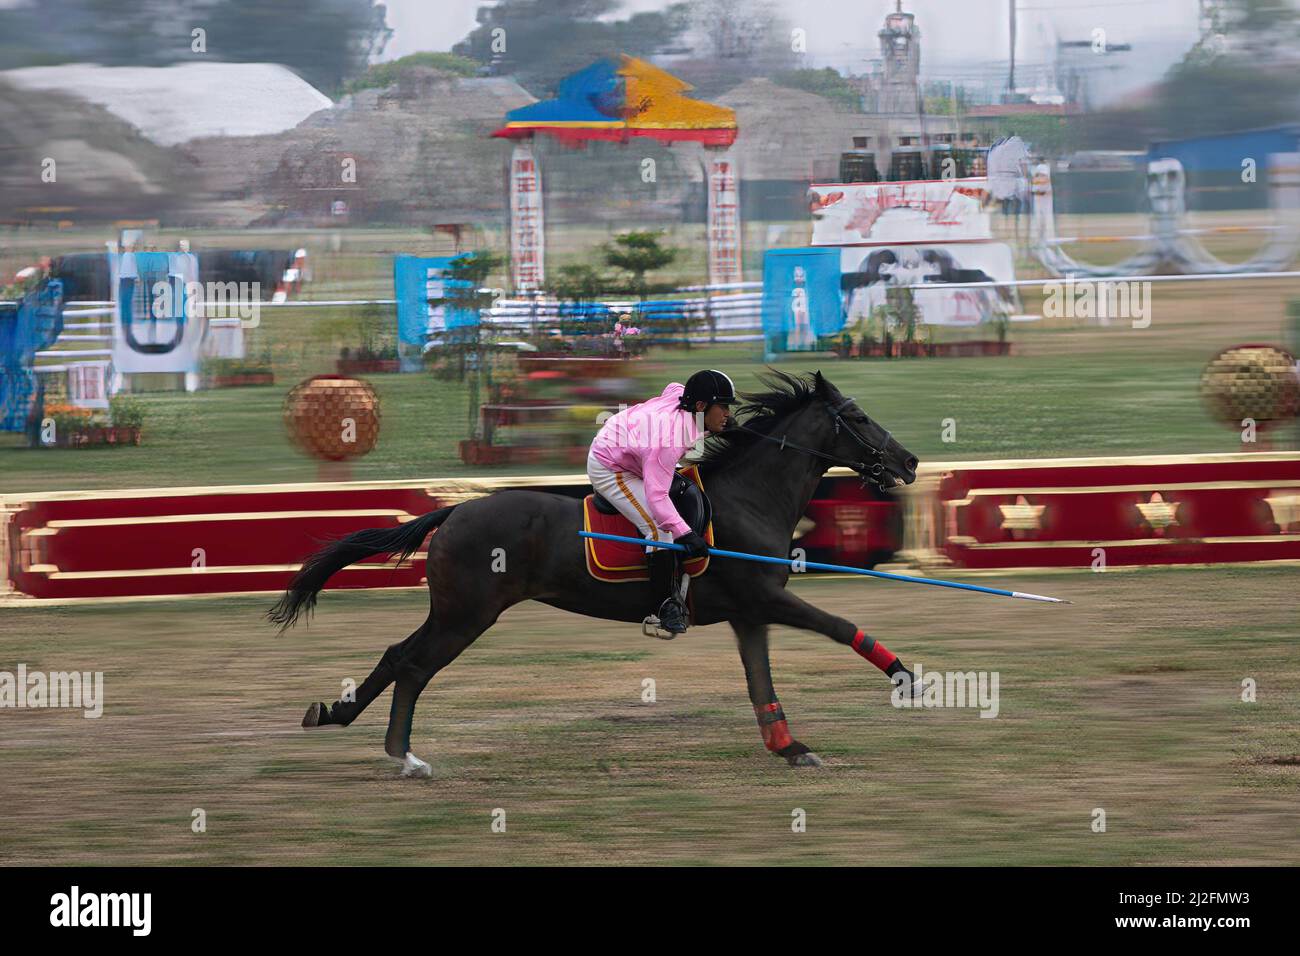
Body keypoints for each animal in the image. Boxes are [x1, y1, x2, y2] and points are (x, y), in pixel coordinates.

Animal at [268, 370, 921, 774]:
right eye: (858, 416)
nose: (910, 461)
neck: (749, 498)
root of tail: (455, 509)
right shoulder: (763, 599)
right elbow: (839, 626)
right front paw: (906, 676)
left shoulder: (748, 615)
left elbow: (761, 683)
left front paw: (789, 747)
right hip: (467, 614)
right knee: (413, 665)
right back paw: (404, 756)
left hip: (454, 610)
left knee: (396, 653)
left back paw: (336, 714)